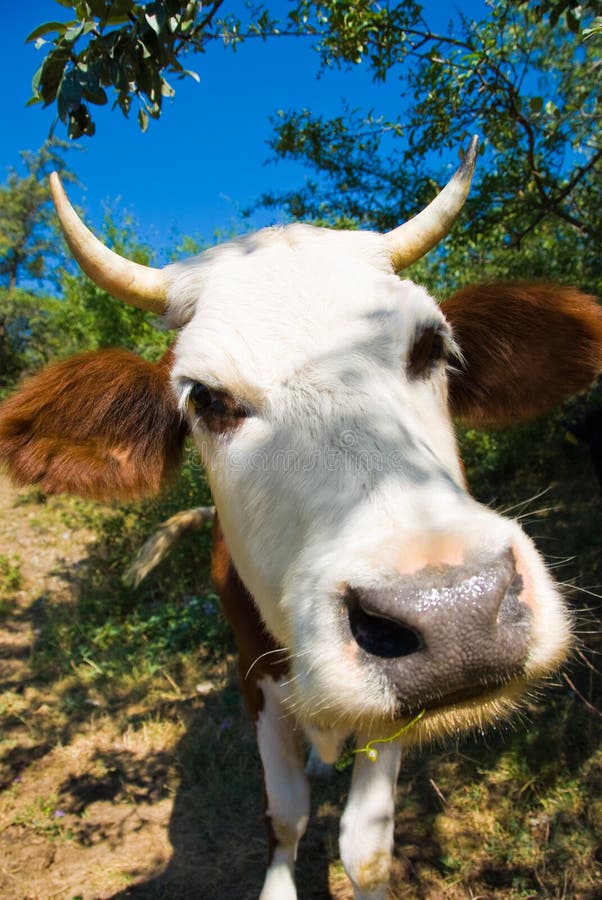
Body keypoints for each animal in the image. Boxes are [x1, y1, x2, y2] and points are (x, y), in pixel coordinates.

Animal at [1, 137, 601, 899]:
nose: (455, 612)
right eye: (205, 398)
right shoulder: (253, 676)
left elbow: (365, 848)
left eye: (431, 346)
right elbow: (284, 813)